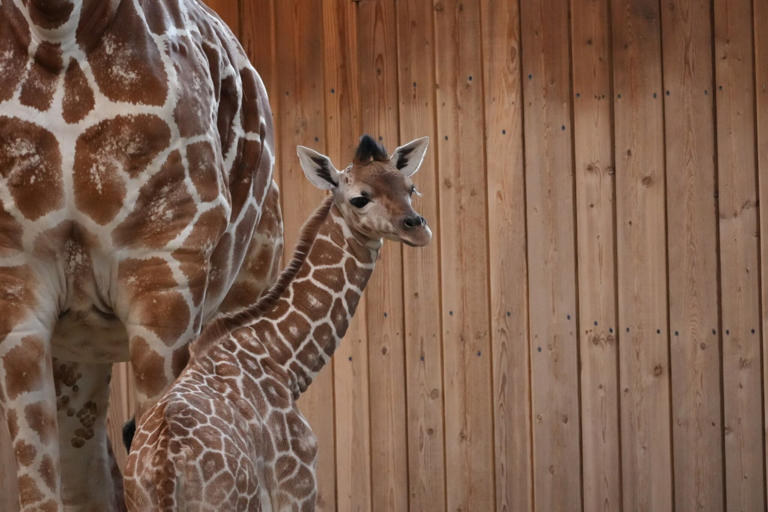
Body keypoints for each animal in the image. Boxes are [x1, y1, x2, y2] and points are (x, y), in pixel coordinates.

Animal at [0, 0, 284, 510]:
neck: (55, 32)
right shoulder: (16, 285)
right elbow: (43, 488)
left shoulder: (166, 265)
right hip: (77, 349)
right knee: (94, 476)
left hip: (250, 291)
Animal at [123, 135, 431, 511]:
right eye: (359, 198)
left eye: (410, 188)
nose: (418, 228)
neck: (283, 360)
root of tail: (165, 471)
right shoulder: (297, 487)